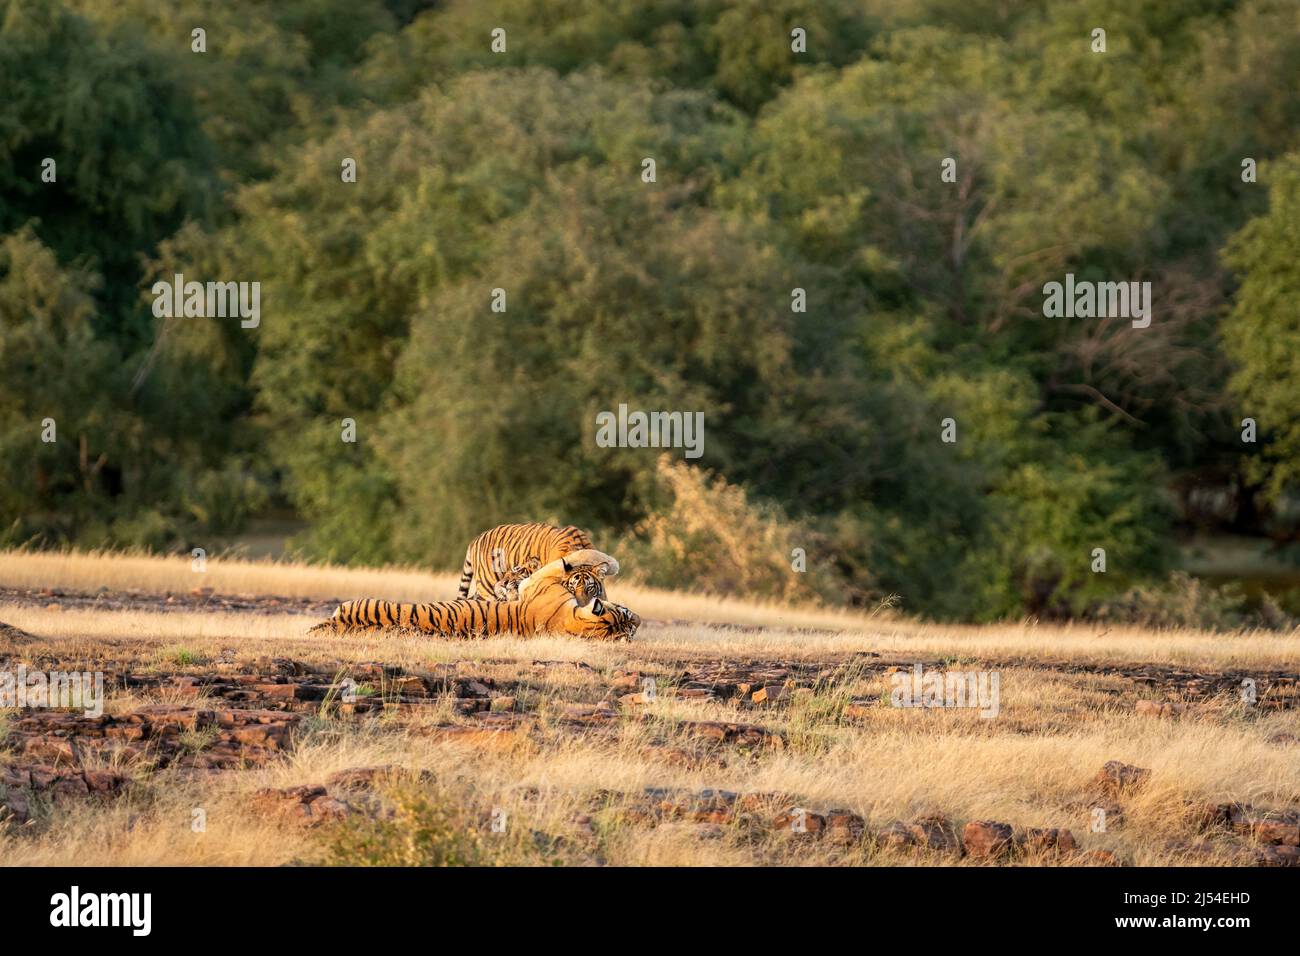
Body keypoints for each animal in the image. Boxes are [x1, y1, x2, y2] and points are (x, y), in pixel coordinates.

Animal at [310, 549, 639, 641]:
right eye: (625, 613)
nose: (638, 619)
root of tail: (336, 623)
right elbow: (566, 560)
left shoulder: (539, 582)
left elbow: (565, 560)